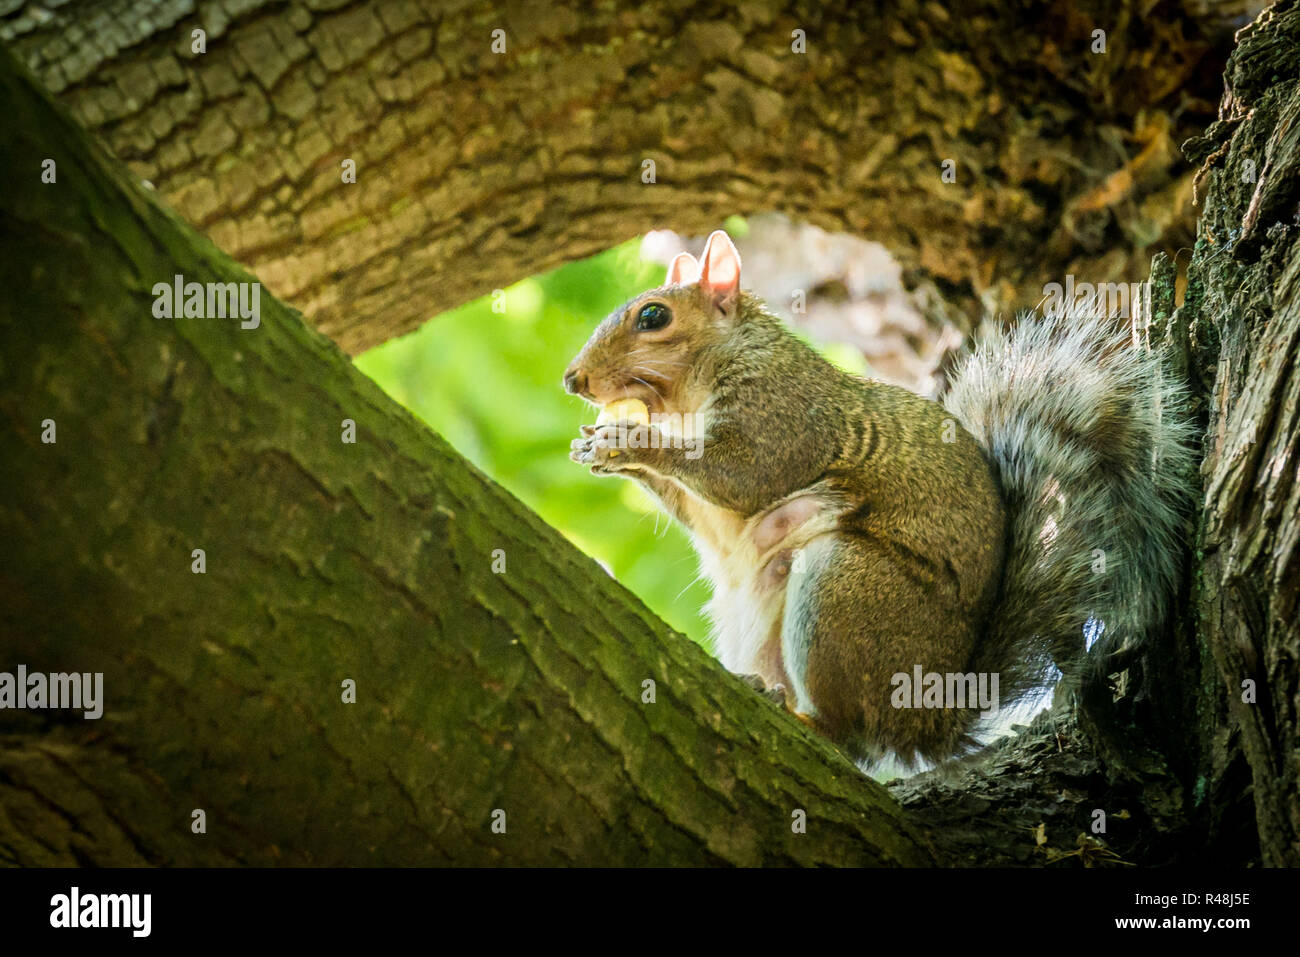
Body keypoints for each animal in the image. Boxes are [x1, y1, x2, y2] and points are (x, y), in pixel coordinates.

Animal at [564, 229, 1196, 769]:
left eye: (653, 316)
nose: (573, 380)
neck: (688, 395)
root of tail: (929, 718)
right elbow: (698, 508)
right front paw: (598, 445)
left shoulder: (786, 413)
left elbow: (744, 474)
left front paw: (634, 441)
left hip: (846, 589)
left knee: (850, 736)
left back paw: (809, 718)